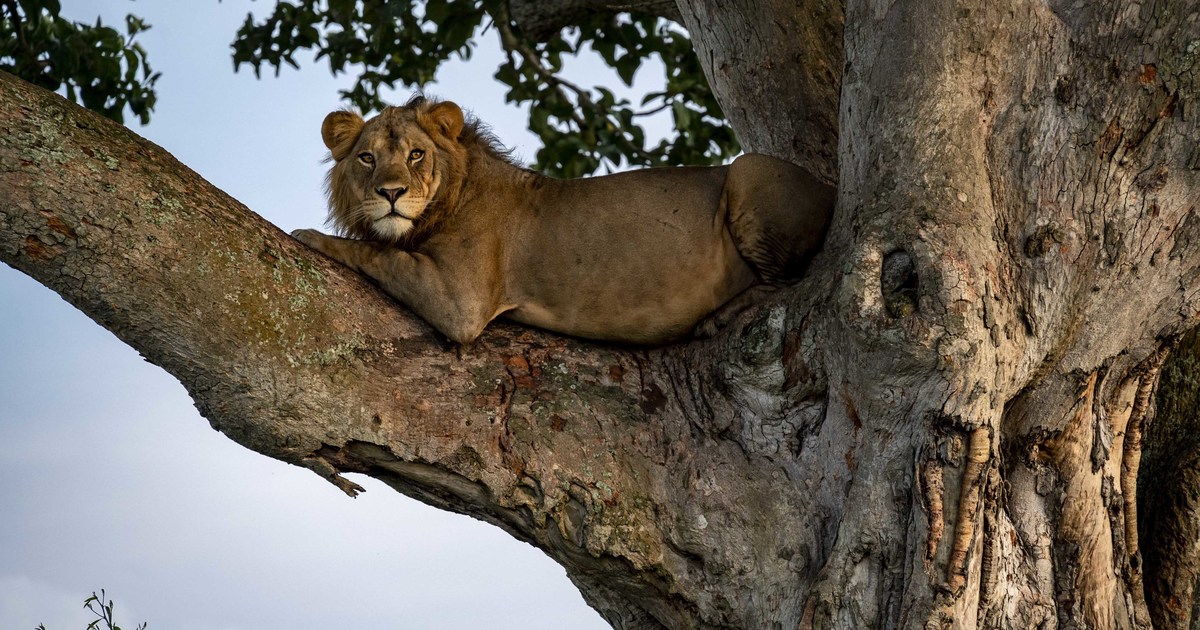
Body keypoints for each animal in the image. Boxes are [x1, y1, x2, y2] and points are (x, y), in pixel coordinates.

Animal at [291, 96, 834, 345]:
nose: (391, 193)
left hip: (747, 169)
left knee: (786, 281)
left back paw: (722, 315)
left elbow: (376, 251)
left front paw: (311, 235)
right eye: (367, 158)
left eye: (416, 154)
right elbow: (381, 247)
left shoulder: (459, 302)